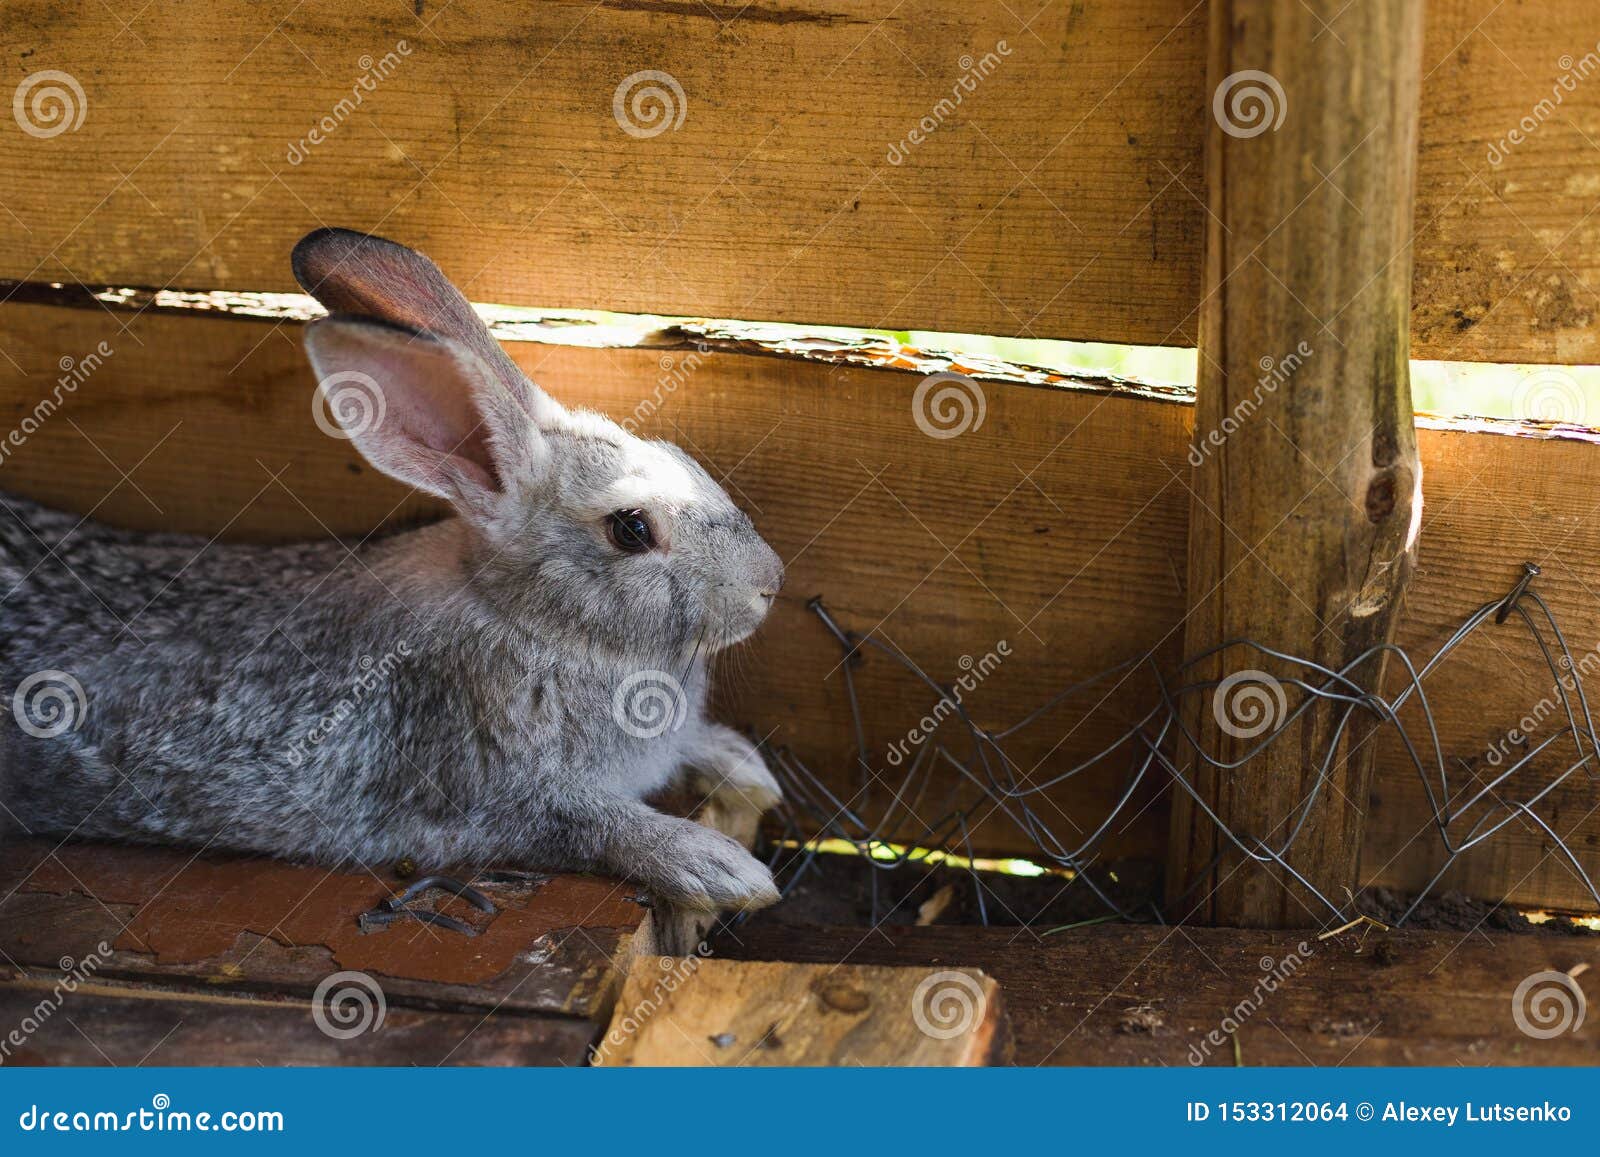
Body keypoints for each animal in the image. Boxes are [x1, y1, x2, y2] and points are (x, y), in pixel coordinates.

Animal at [0, 228, 786, 913]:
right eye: (631, 529)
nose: (769, 584)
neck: (523, 615)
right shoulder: (498, 795)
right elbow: (596, 826)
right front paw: (720, 868)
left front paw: (747, 769)